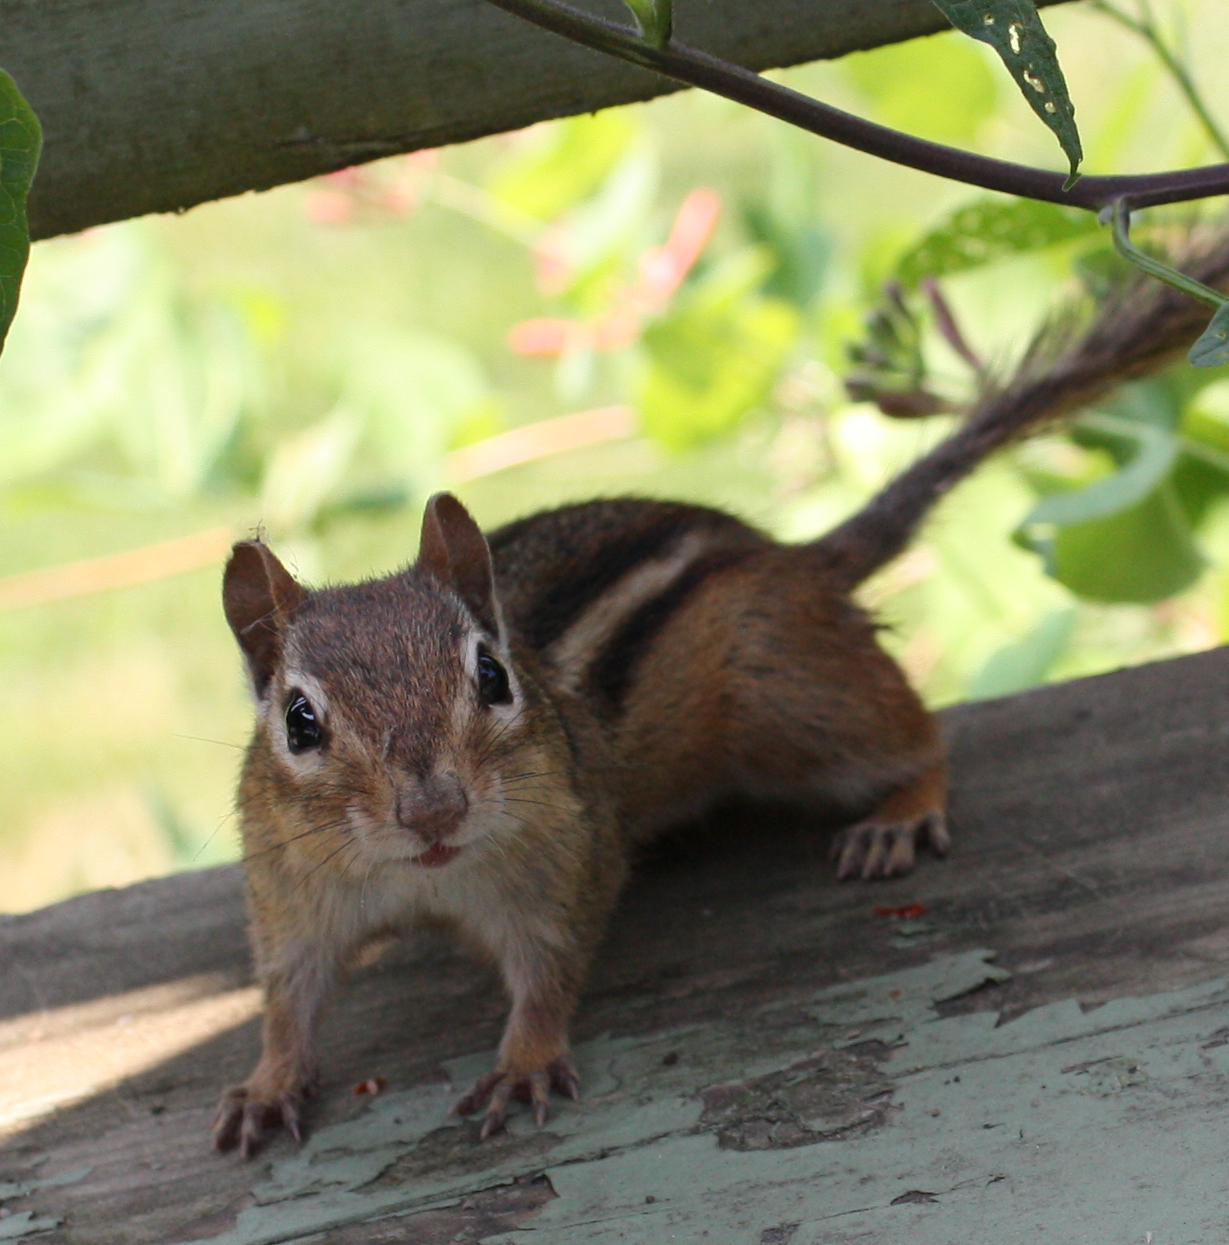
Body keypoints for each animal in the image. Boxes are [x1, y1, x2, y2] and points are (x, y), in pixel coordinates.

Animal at [212, 232, 1229, 1156]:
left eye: (492, 676)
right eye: (300, 721)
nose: (433, 810)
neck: (425, 880)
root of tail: (790, 556)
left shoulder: (565, 855)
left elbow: (549, 965)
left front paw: (524, 1058)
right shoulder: (290, 892)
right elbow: (287, 993)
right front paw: (267, 1082)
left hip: (792, 695)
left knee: (914, 733)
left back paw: (899, 810)